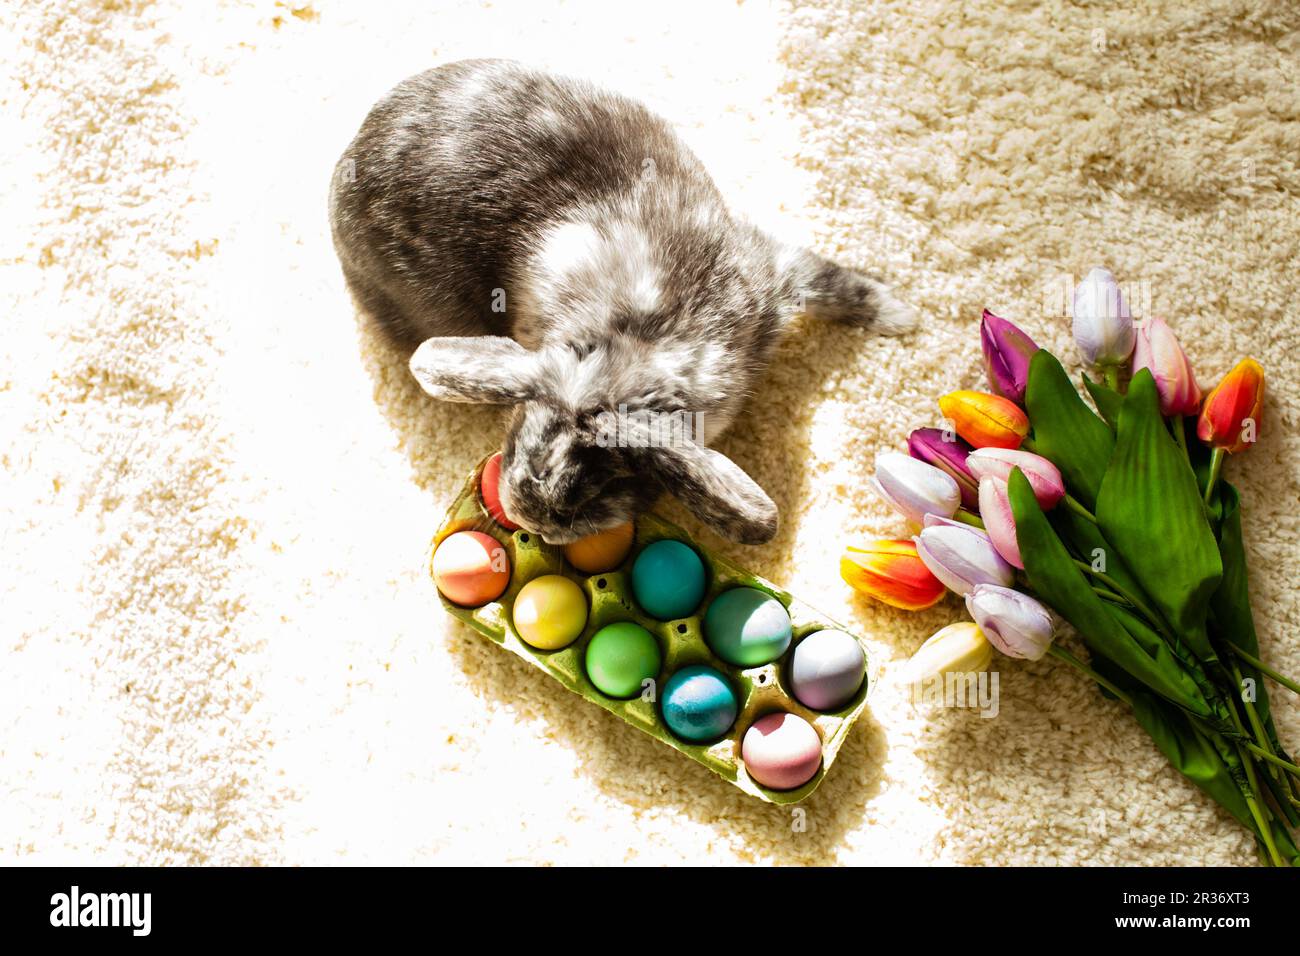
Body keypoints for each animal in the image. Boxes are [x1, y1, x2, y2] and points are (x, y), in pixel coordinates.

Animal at [330, 58, 914, 546]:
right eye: (517, 445)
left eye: (598, 492)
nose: (527, 518)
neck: (645, 340)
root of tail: (346, 167)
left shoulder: (777, 274)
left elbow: (840, 287)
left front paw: (902, 316)